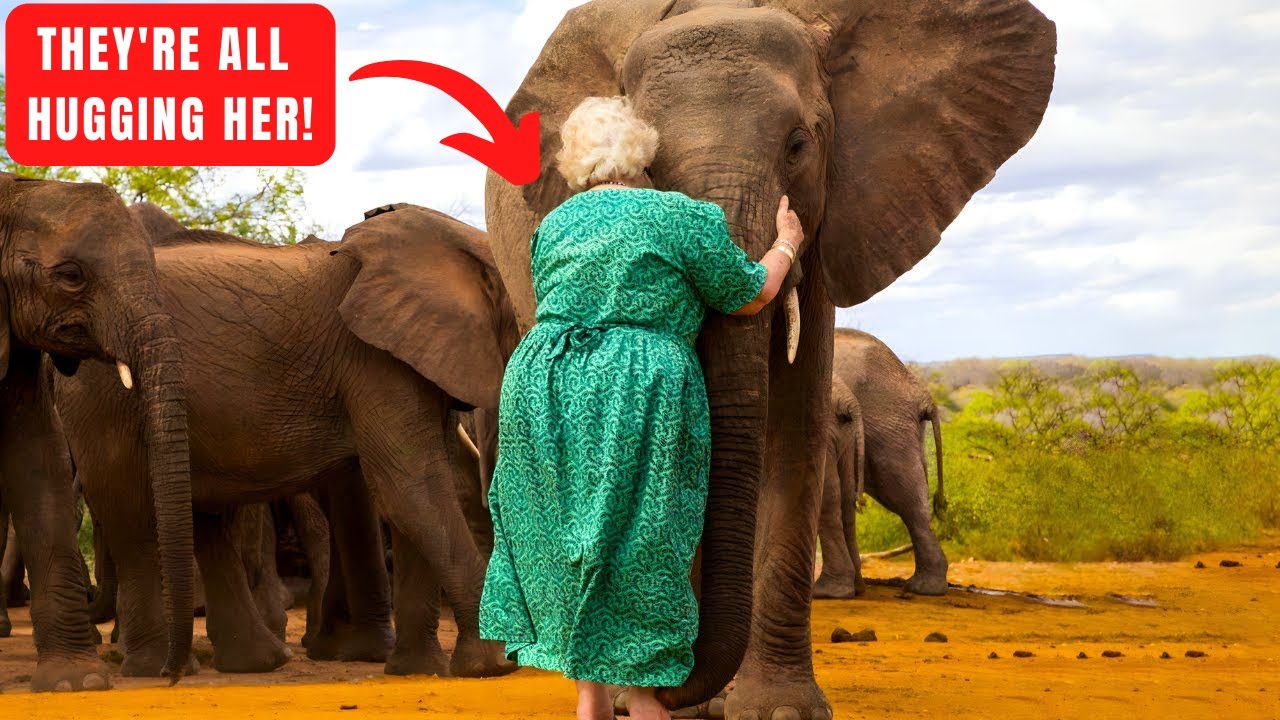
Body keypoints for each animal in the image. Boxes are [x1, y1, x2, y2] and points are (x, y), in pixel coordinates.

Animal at [55, 202, 520, 678]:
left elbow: (422, 494)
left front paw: (416, 670)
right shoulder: (375, 363)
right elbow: (412, 489)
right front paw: (493, 666)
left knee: (194, 510)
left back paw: (243, 663)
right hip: (99, 389)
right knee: (125, 506)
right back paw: (157, 669)